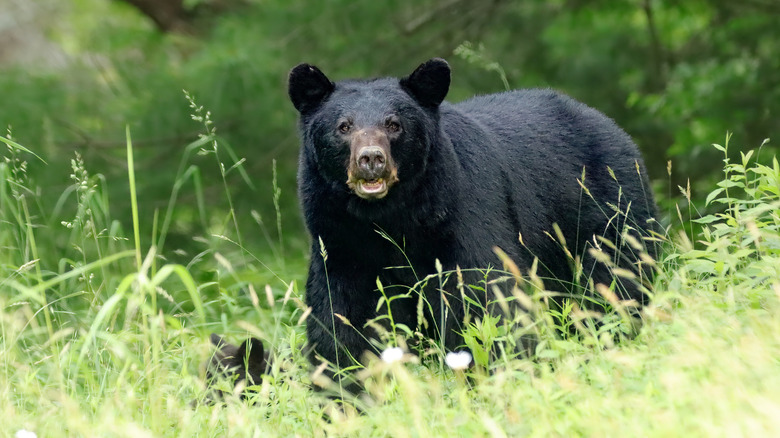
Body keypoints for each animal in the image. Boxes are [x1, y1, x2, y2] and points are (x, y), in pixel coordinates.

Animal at [288, 58, 657, 376]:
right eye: (343, 126)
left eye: (394, 124)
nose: (371, 159)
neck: (390, 216)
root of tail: (608, 123)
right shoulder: (338, 237)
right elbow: (343, 314)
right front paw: (345, 385)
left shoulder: (464, 208)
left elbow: (484, 295)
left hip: (607, 202)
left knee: (618, 272)